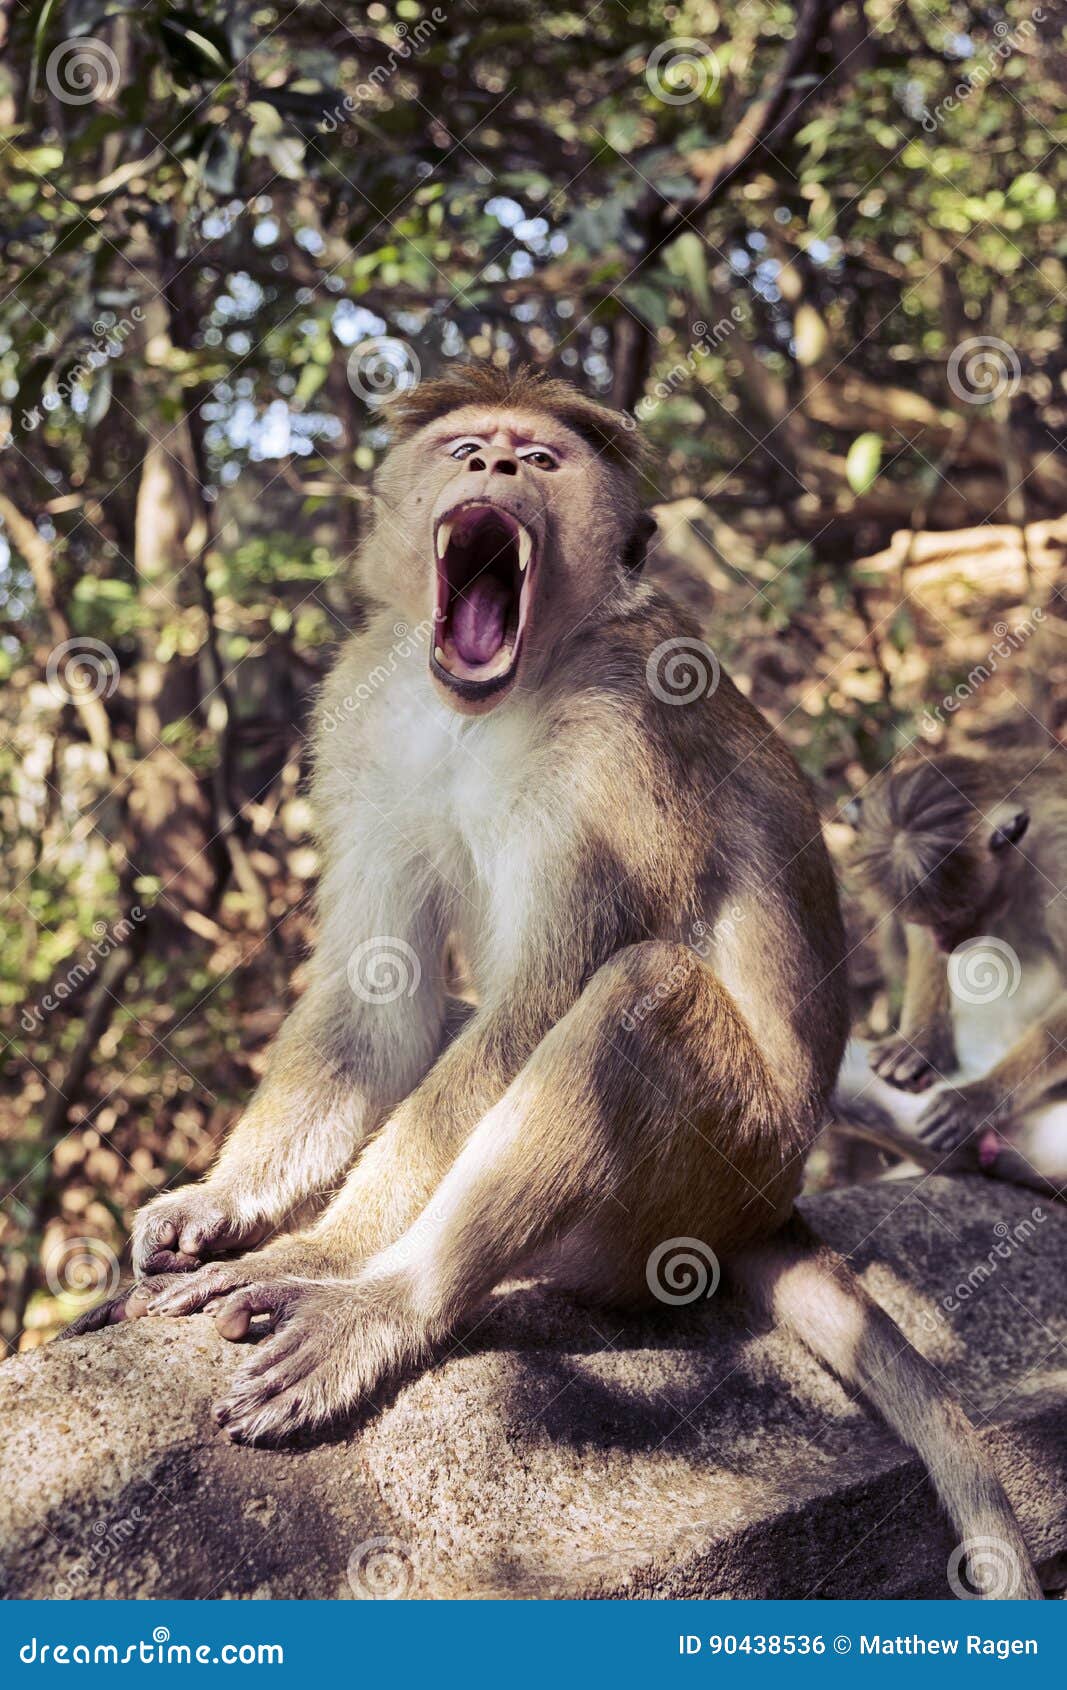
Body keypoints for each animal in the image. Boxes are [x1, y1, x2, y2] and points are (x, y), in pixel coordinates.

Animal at [68, 367, 1039, 1597]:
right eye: (469, 447)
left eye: (540, 461)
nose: (494, 467)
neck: (495, 696)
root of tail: (773, 1207)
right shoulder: (364, 713)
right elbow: (378, 997)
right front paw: (221, 1206)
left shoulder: (619, 751)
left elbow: (535, 1006)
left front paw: (312, 1253)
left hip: (694, 1190)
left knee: (633, 1000)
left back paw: (386, 1305)